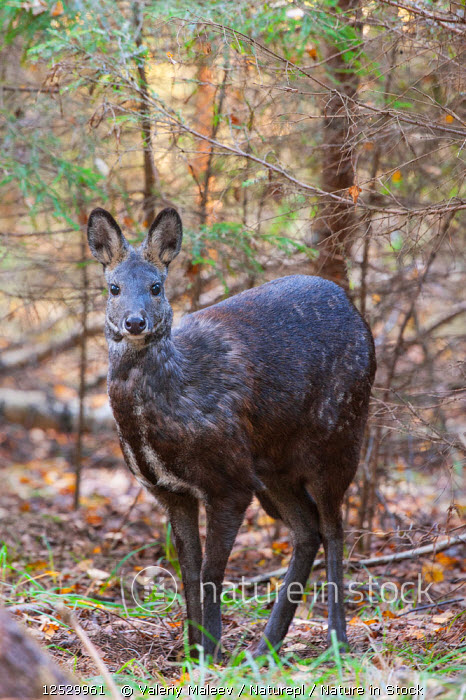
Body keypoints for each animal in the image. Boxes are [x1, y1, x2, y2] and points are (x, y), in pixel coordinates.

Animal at [87, 206, 376, 661]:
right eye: (113, 287)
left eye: (156, 286)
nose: (134, 322)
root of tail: (356, 311)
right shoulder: (171, 491)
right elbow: (188, 569)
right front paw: (191, 652)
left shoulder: (230, 482)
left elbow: (212, 569)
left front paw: (210, 651)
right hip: (275, 471)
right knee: (307, 529)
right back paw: (266, 646)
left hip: (340, 438)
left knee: (333, 528)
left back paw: (337, 640)